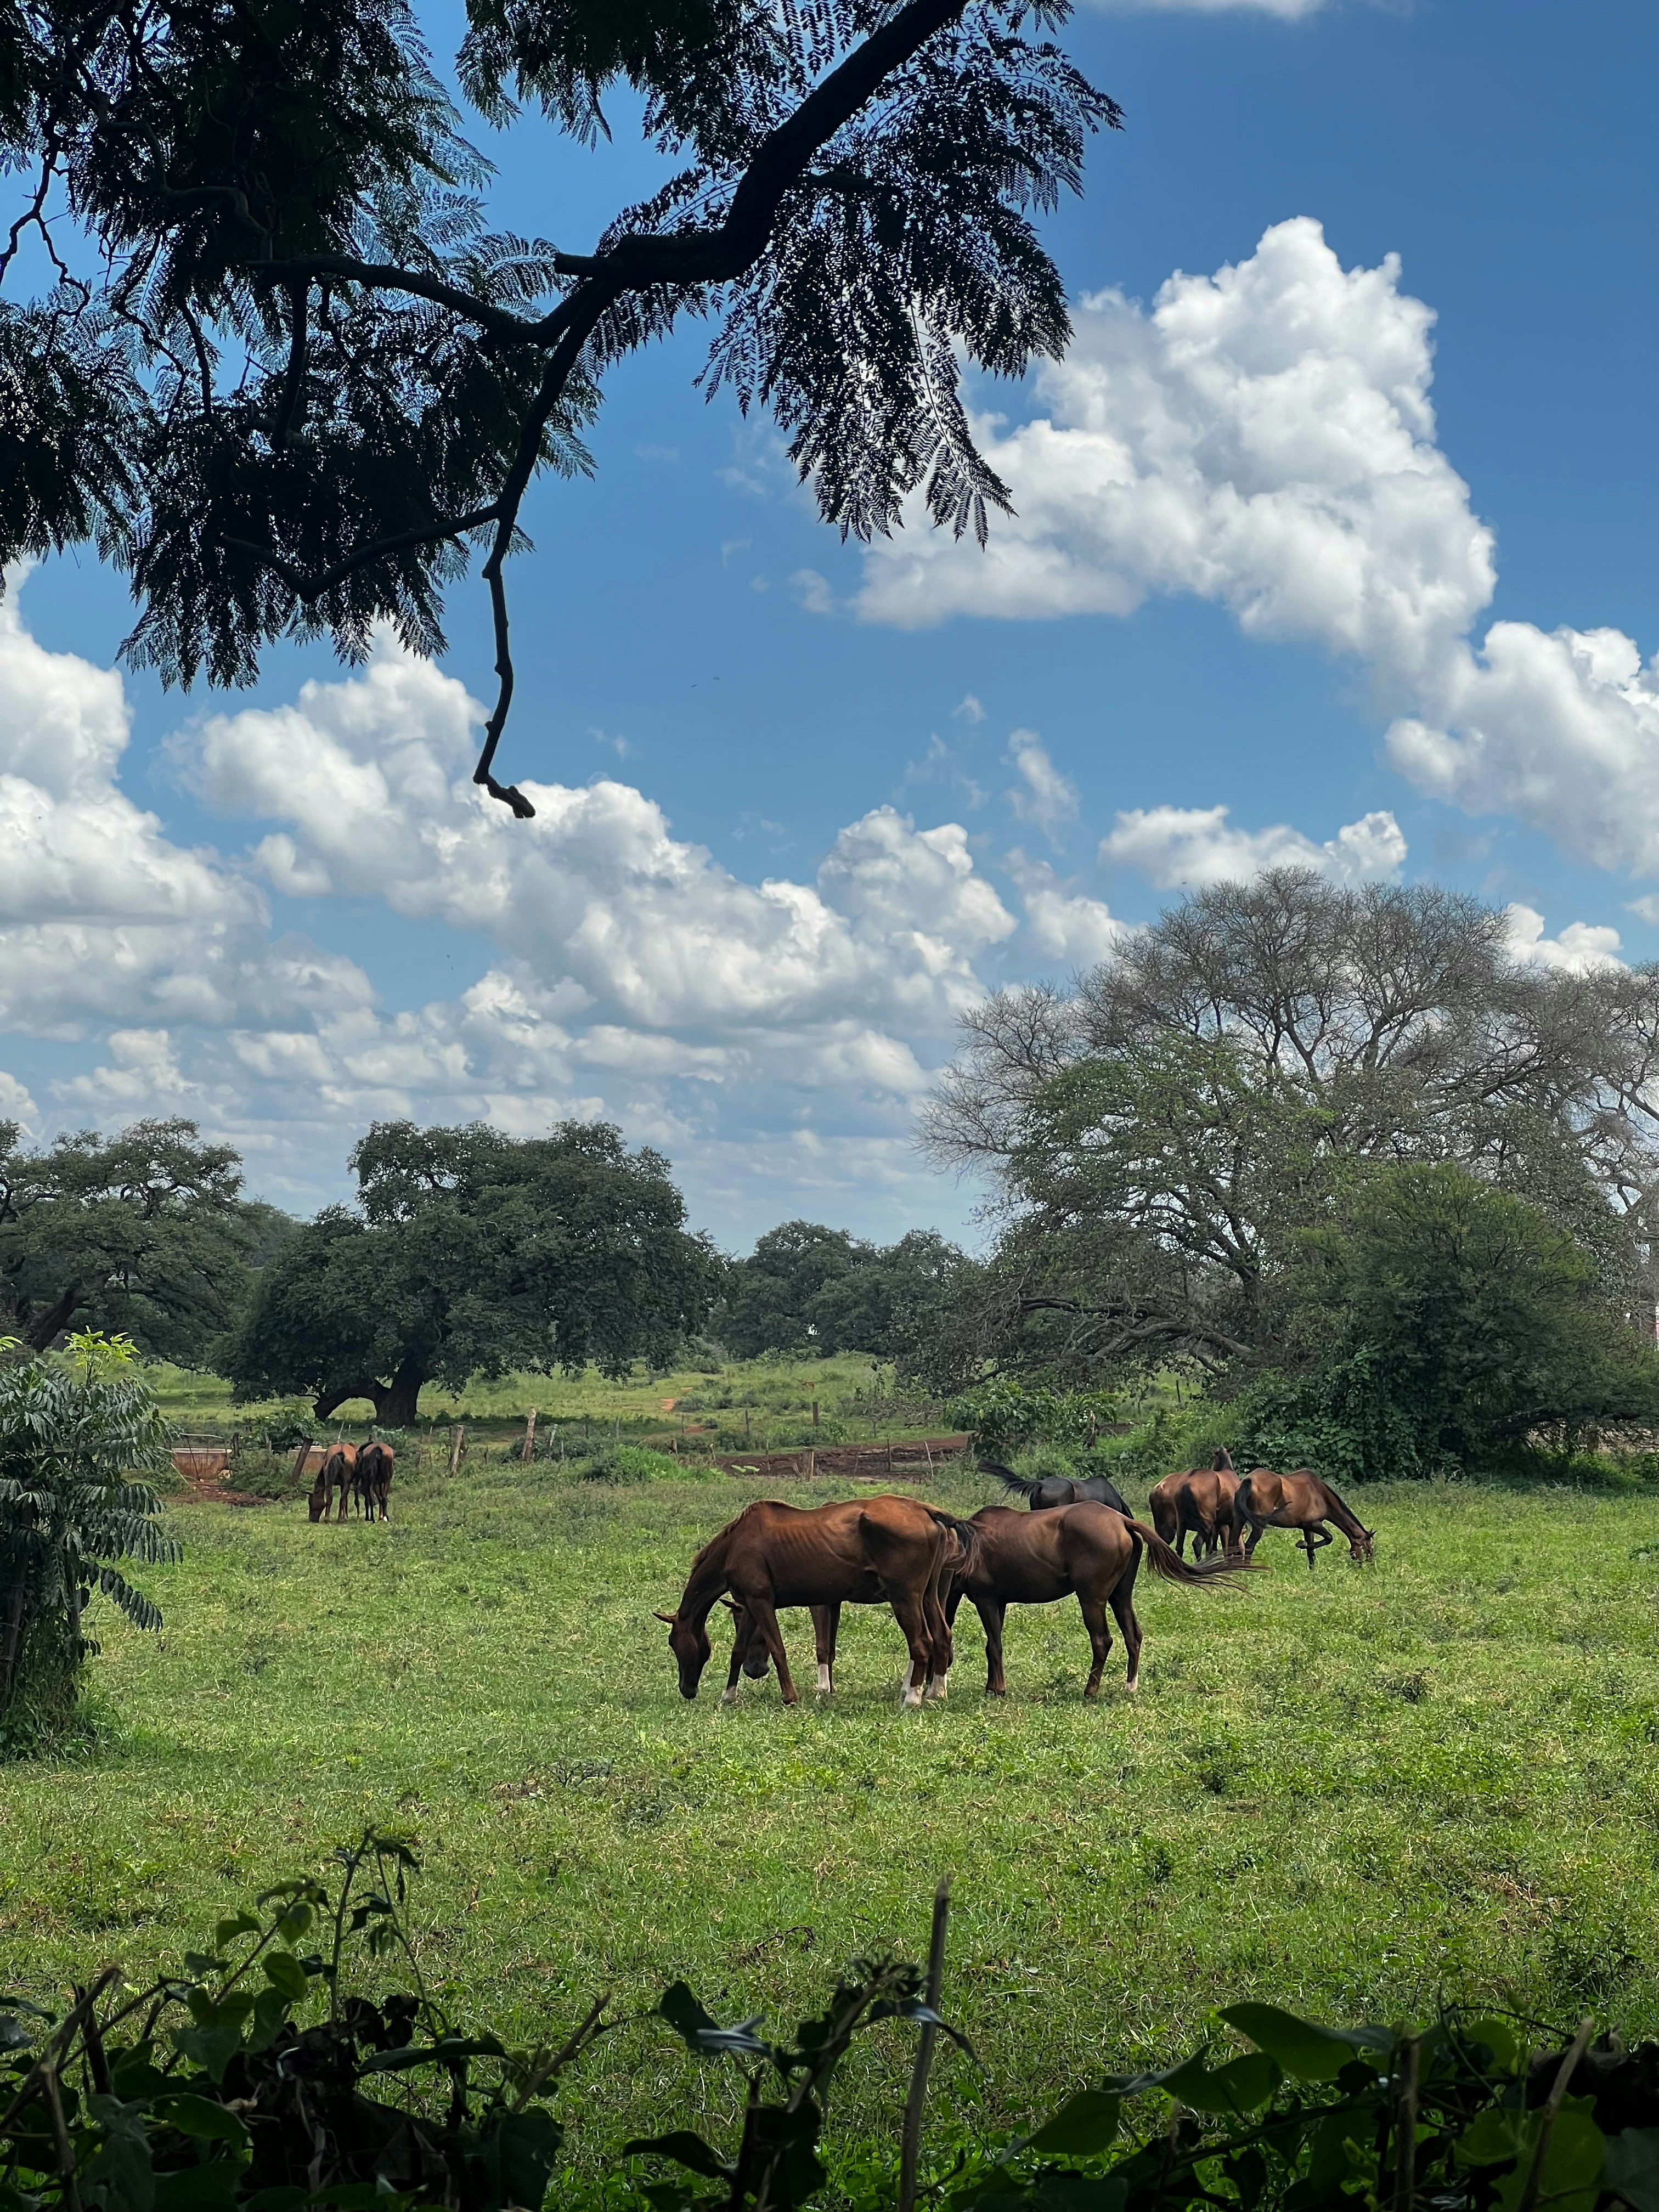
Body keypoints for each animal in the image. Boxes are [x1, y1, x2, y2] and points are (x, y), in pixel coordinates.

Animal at [354, 1440, 394, 1522]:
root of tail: (378, 1449)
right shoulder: (379, 1483)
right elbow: (381, 1498)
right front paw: (382, 1517)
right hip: (386, 1481)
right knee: (383, 1498)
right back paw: (383, 1517)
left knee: (374, 1499)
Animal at [656, 1496, 965, 1709]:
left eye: (673, 1643)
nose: (687, 1690)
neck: (736, 1546)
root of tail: (925, 1511)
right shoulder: (751, 1607)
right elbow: (738, 1651)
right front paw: (729, 1695)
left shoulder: (761, 1603)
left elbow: (779, 1650)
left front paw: (790, 1697)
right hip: (929, 1598)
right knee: (941, 1637)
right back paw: (935, 1691)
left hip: (905, 1599)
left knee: (921, 1643)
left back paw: (912, 1698)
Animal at [943, 1501, 1236, 1698]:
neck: (968, 1546)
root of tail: (1121, 1521)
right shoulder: (999, 1604)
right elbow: (992, 1645)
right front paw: (991, 1686)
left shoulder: (987, 1601)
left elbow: (994, 1646)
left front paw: (998, 1689)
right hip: (1120, 1597)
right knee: (1133, 1636)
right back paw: (1130, 1686)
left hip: (1091, 1600)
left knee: (1102, 1641)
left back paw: (1090, 1690)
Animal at [1234, 1467, 1374, 1567]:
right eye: (1367, 1546)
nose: (1370, 1564)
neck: (1321, 1495)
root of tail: (1249, 1480)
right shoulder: (1313, 1524)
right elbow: (1328, 1539)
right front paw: (1301, 1544)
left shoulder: (1307, 1528)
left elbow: (1311, 1552)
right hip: (1259, 1527)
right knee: (1249, 1546)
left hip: (1238, 1522)